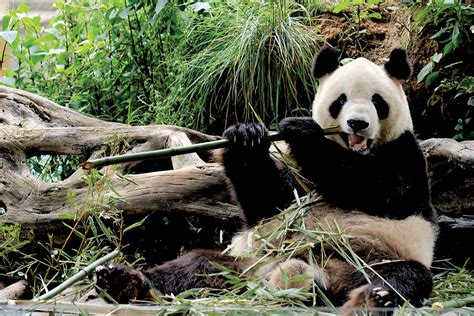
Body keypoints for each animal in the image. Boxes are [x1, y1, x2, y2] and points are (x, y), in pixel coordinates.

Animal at [94, 48, 438, 310]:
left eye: (377, 101)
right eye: (341, 100)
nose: (357, 123)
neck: (357, 151)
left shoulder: (406, 154)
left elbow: (386, 191)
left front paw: (302, 131)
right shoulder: (295, 186)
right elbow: (267, 203)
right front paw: (246, 136)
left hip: (370, 260)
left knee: (403, 277)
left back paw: (371, 300)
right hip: (245, 264)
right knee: (196, 265)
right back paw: (124, 282)